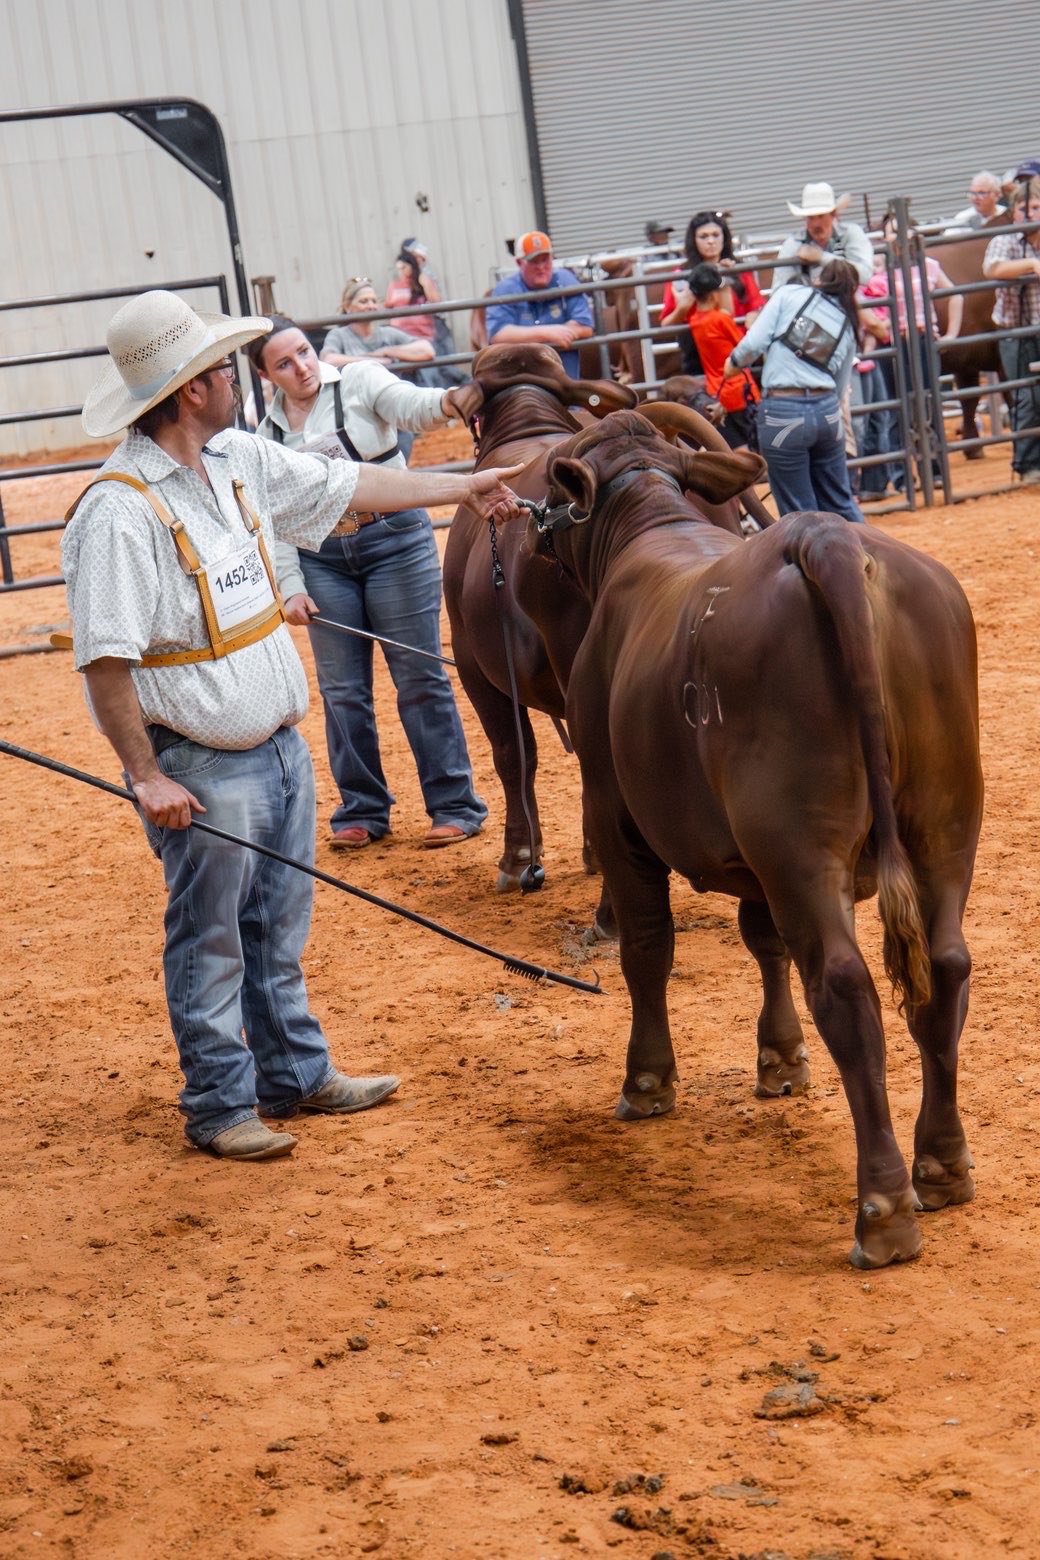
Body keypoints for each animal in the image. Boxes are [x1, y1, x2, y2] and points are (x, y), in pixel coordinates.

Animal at [535, 409, 982, 1269]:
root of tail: (824, 538)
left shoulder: (614, 815)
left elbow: (648, 949)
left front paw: (648, 1082)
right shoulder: (751, 864)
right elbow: (763, 940)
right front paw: (780, 1060)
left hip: (798, 845)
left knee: (845, 985)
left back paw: (882, 1212)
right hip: (945, 823)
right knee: (944, 967)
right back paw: (940, 1166)